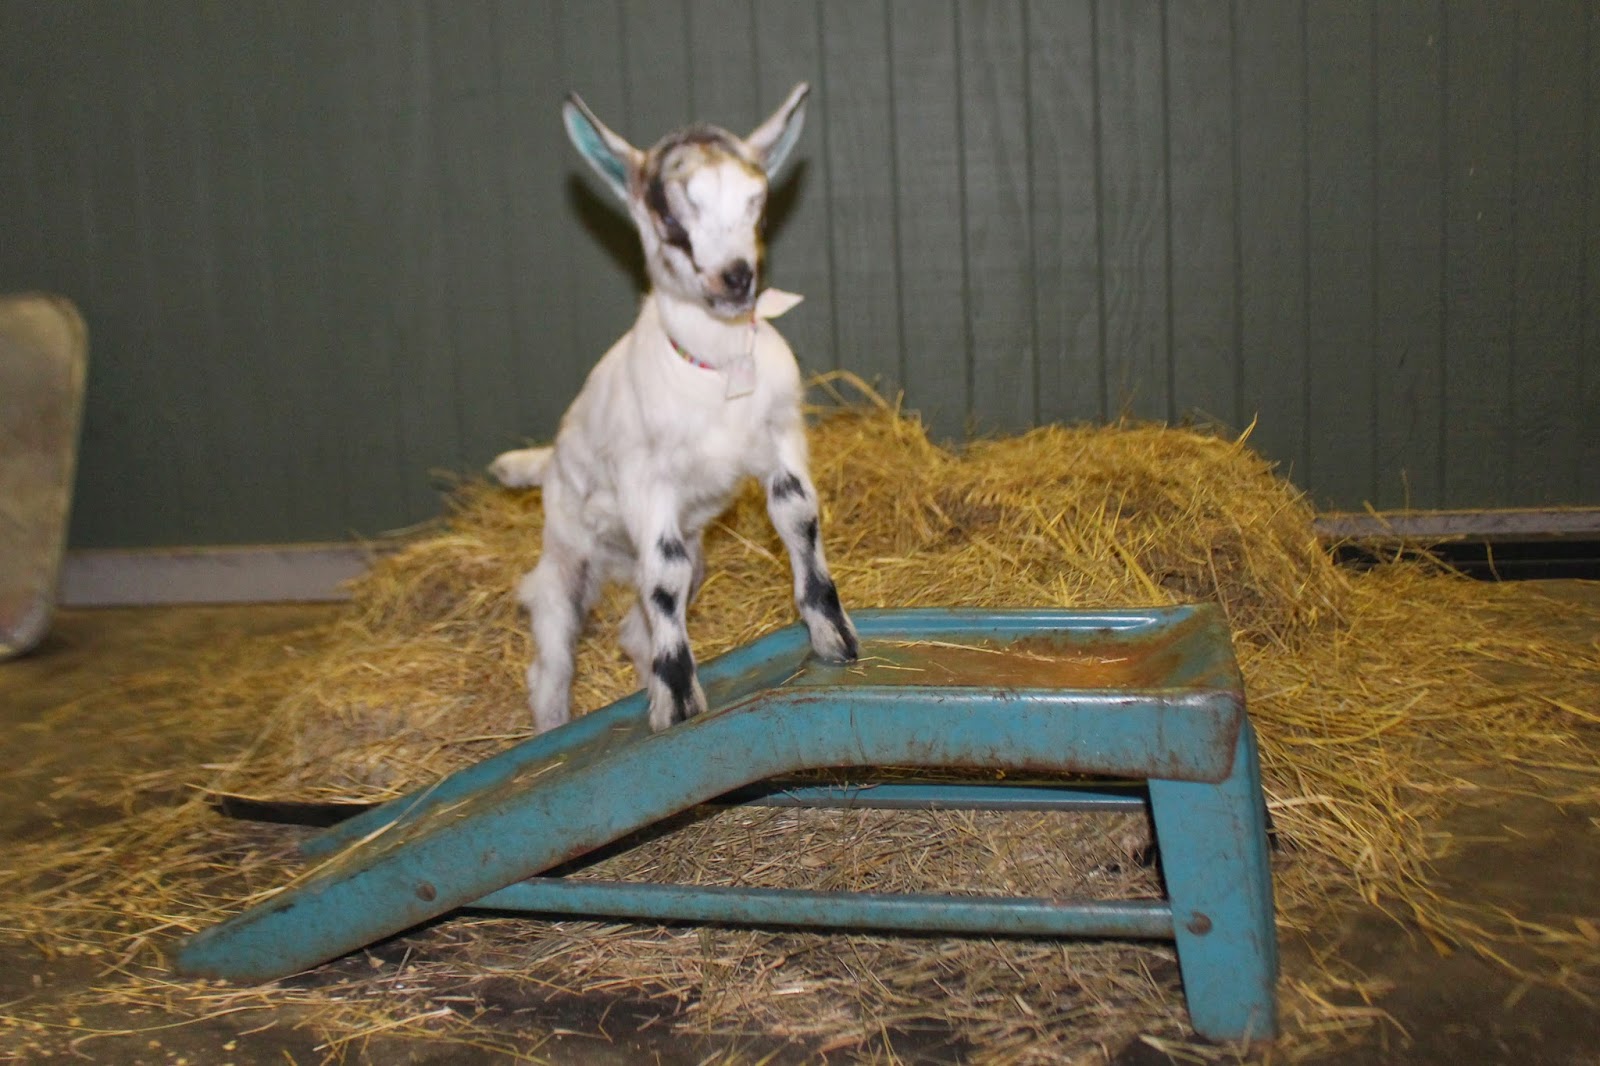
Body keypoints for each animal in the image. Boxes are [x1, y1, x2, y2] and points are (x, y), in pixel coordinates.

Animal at [490, 84, 859, 734]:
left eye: (757, 201)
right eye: (668, 214)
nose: (736, 278)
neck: (717, 373)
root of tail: (550, 457)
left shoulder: (780, 439)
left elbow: (800, 519)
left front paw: (834, 639)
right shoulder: (645, 476)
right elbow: (663, 576)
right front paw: (679, 704)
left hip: (690, 544)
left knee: (635, 625)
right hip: (567, 548)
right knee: (553, 637)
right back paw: (554, 725)